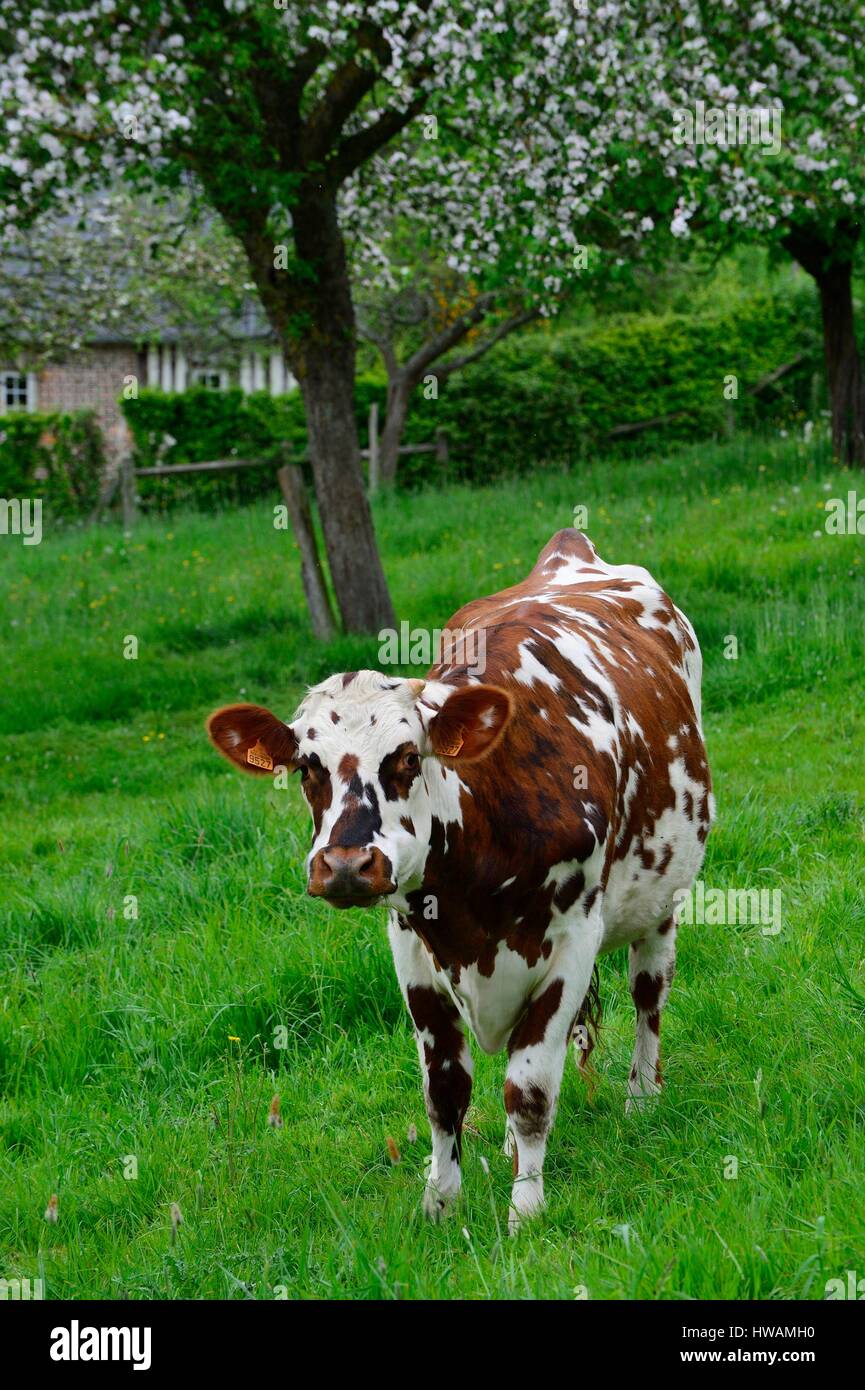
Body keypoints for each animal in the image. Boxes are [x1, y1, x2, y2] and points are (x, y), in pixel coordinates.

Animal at [207, 530, 713, 1232]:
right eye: (306, 767)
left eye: (407, 757)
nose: (345, 865)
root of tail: (570, 550)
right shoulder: (413, 947)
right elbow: (446, 1090)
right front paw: (441, 1203)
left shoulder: (573, 940)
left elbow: (530, 1089)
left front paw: (526, 1209)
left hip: (663, 897)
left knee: (648, 993)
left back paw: (642, 1097)